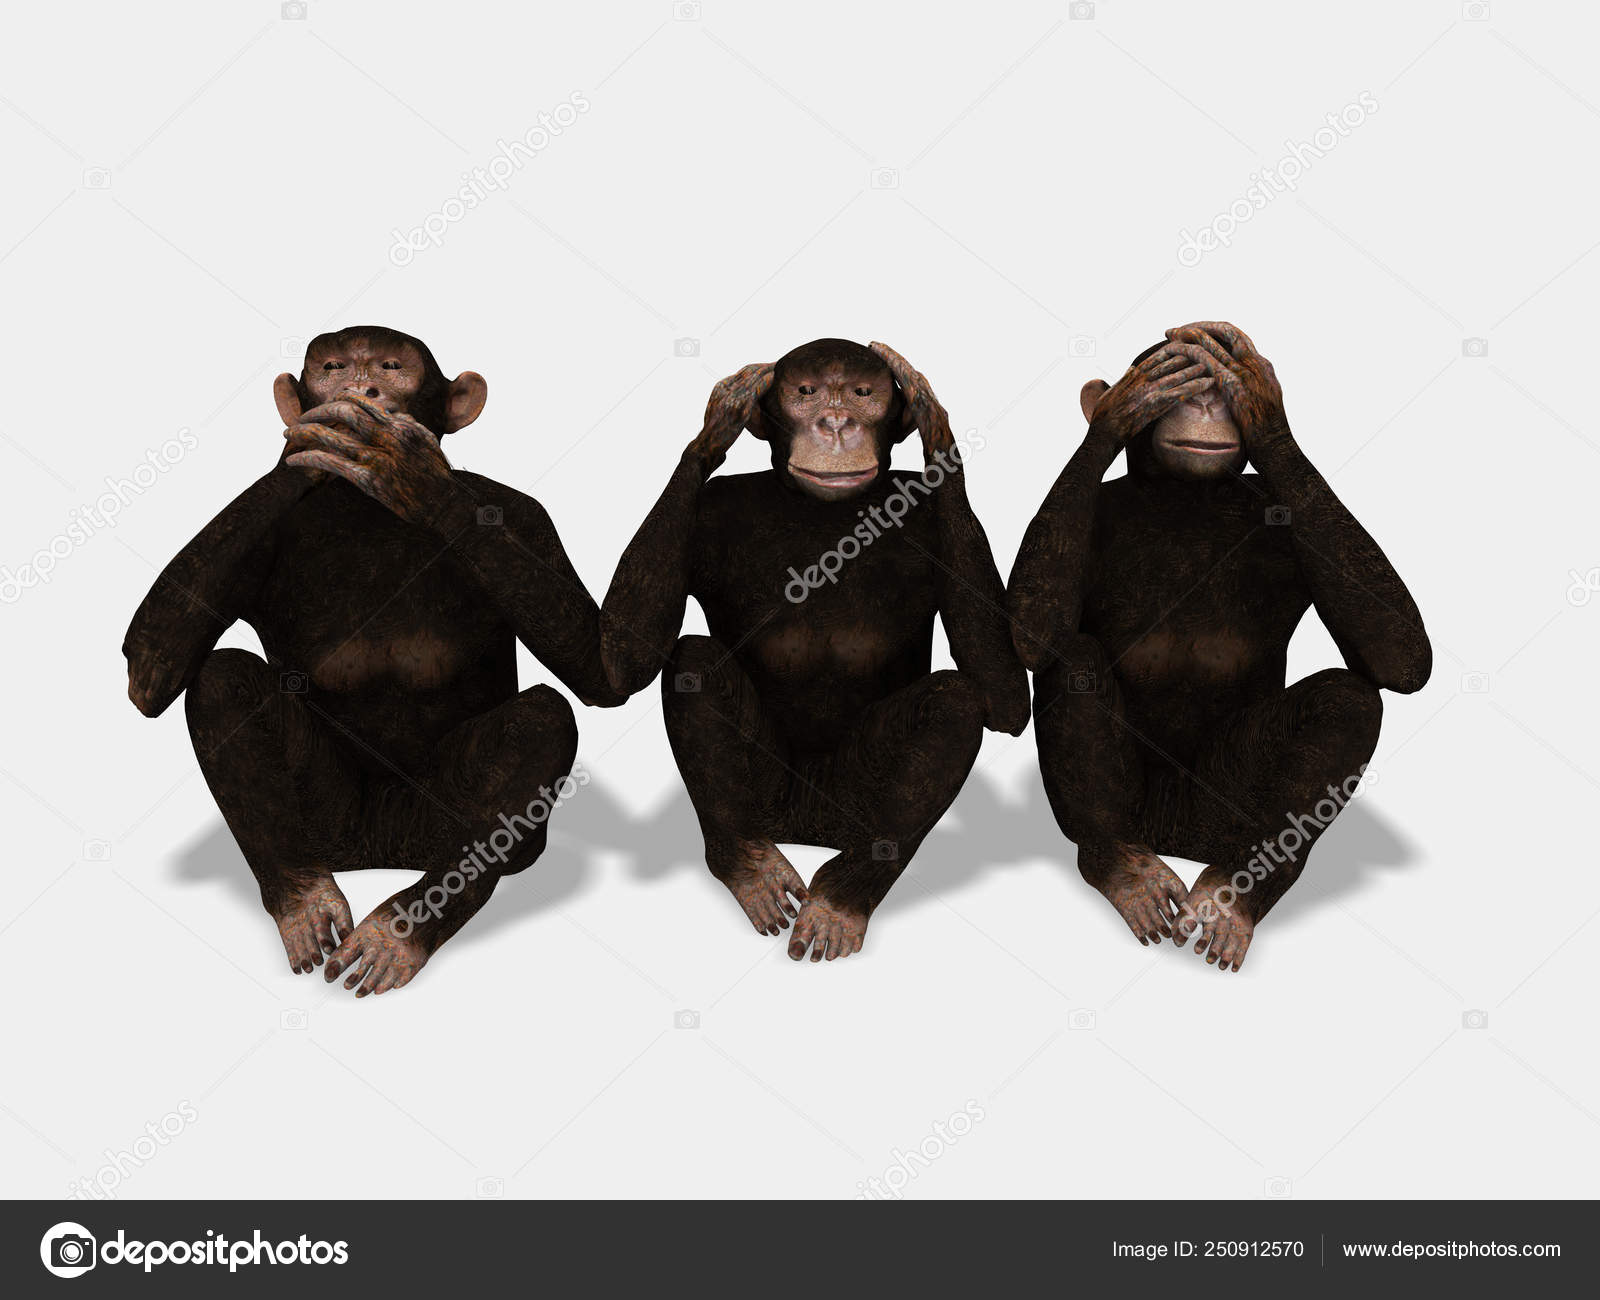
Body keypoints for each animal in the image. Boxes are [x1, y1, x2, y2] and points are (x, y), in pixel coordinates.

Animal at [123, 326, 621, 996]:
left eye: (391, 366)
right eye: (333, 368)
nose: (365, 390)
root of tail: (383, 850)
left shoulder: (526, 516)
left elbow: (598, 666)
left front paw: (414, 474)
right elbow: (150, 664)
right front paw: (302, 449)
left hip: (438, 823)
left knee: (541, 719)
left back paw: (405, 925)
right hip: (330, 827)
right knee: (222, 678)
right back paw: (304, 898)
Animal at [600, 339, 1028, 961]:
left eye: (863, 393)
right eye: (805, 392)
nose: (835, 422)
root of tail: (810, 827)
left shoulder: (931, 515)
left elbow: (1005, 697)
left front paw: (930, 413)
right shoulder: (706, 510)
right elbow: (623, 660)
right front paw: (720, 419)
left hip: (853, 802)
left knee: (955, 702)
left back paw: (840, 898)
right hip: (770, 798)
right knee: (694, 664)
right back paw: (750, 865)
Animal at [1007, 321, 1430, 971]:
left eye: (1219, 387)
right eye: (1180, 378)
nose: (1206, 403)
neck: (1187, 497)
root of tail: (1179, 839)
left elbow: (1400, 652)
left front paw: (1260, 396)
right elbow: (1032, 630)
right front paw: (1118, 409)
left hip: (1223, 810)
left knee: (1348, 699)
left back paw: (1237, 889)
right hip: (1145, 811)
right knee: (1070, 658)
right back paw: (1125, 868)